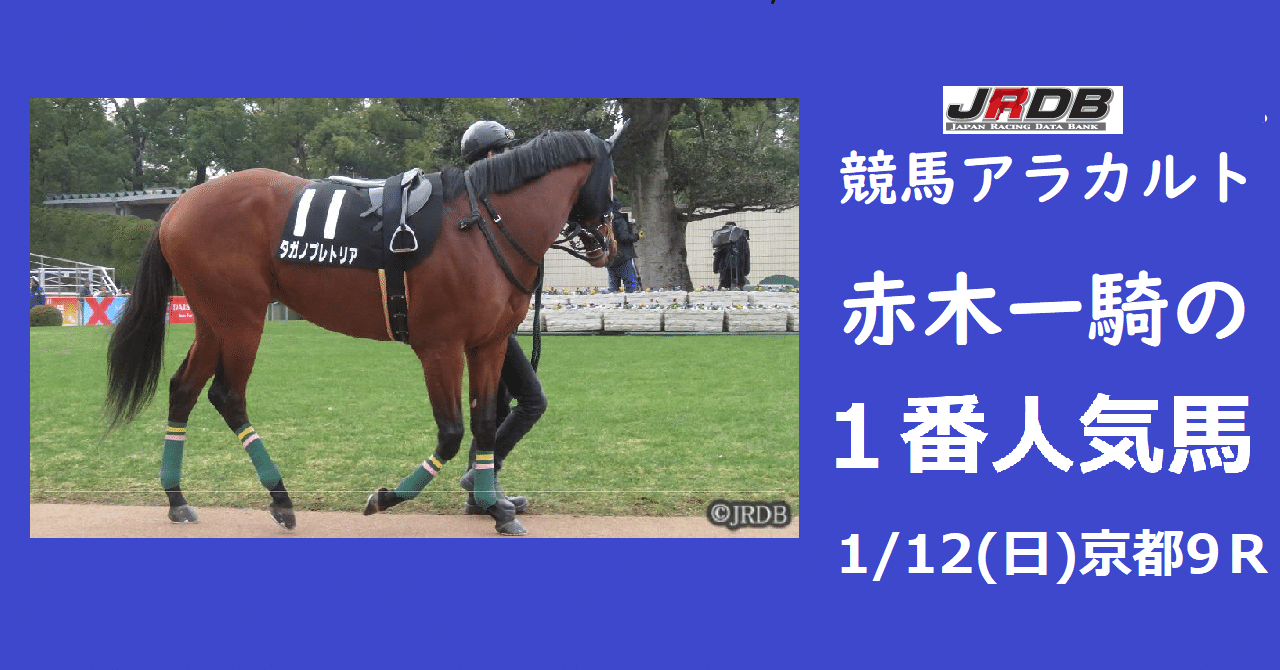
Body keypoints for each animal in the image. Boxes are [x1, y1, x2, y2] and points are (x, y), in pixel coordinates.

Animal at [103, 129, 621, 536]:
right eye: (614, 179)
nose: (614, 242)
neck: (481, 225)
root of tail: (176, 208)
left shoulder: (488, 345)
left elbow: (486, 425)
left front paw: (495, 508)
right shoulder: (440, 347)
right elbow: (452, 433)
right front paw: (388, 497)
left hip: (214, 321)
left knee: (183, 389)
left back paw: (177, 498)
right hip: (241, 320)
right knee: (227, 396)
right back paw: (280, 498)